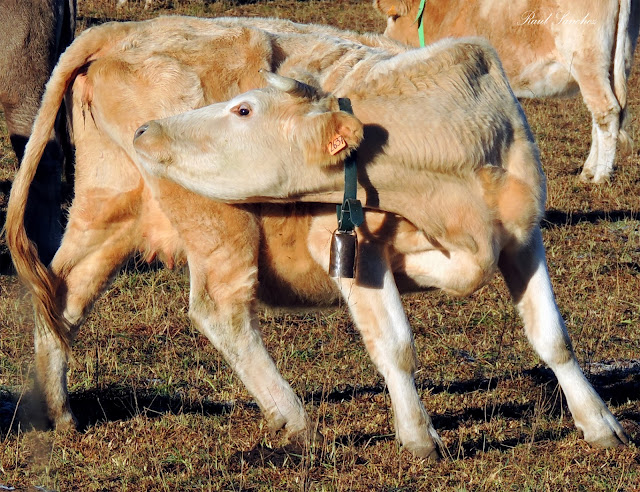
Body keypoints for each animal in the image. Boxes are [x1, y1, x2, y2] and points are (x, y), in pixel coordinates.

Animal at [5, 16, 627, 460]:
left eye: (244, 108)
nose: (148, 131)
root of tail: (122, 30)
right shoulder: (355, 250)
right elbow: (395, 344)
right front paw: (418, 436)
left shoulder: (523, 237)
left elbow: (553, 339)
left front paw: (600, 424)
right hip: (216, 221)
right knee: (218, 310)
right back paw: (293, 415)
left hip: (108, 209)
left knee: (62, 293)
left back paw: (59, 410)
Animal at [373, 0, 640, 184]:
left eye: (393, 18)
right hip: (616, 63)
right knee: (601, 117)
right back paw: (588, 171)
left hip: (588, 63)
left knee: (606, 111)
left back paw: (600, 176)